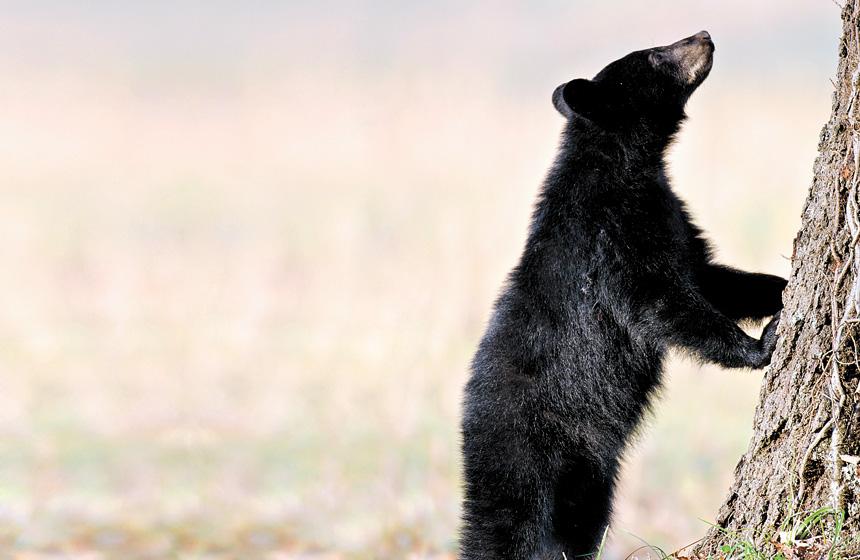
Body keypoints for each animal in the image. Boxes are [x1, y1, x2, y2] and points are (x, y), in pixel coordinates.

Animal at [459, 31, 786, 560]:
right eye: (655, 55)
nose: (704, 35)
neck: (622, 164)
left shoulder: (671, 216)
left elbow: (709, 276)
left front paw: (783, 287)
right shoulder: (611, 234)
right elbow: (659, 301)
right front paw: (762, 344)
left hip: (588, 475)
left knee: (581, 525)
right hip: (523, 455)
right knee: (507, 528)